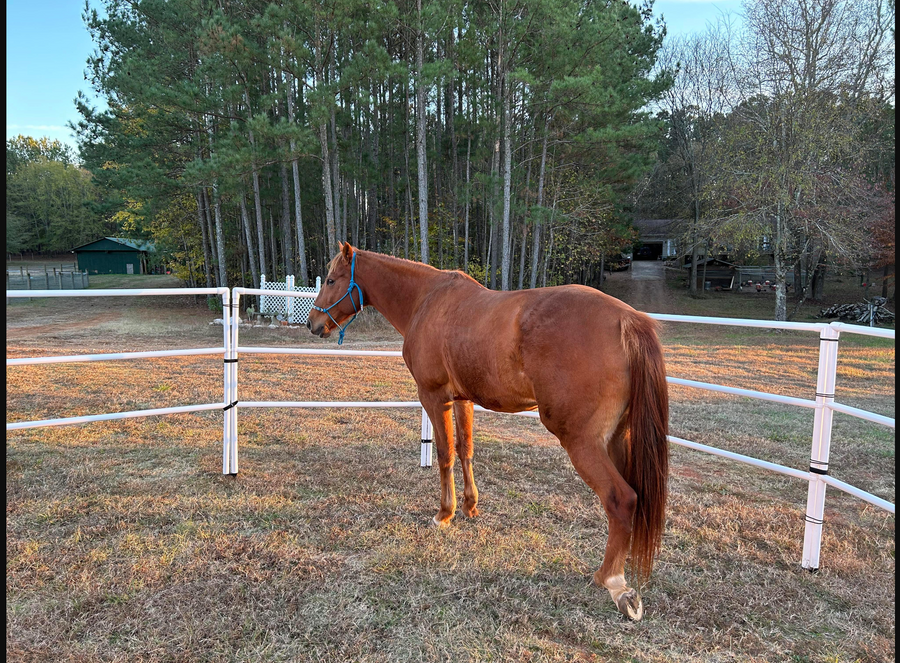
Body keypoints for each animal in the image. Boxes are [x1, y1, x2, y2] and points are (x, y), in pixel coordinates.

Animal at [307, 243, 669, 621]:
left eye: (331, 280)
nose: (312, 323)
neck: (426, 299)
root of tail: (627, 320)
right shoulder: (462, 399)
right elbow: (465, 449)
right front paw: (470, 506)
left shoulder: (434, 397)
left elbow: (445, 453)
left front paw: (445, 513)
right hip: (618, 439)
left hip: (583, 442)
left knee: (621, 499)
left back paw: (612, 581)